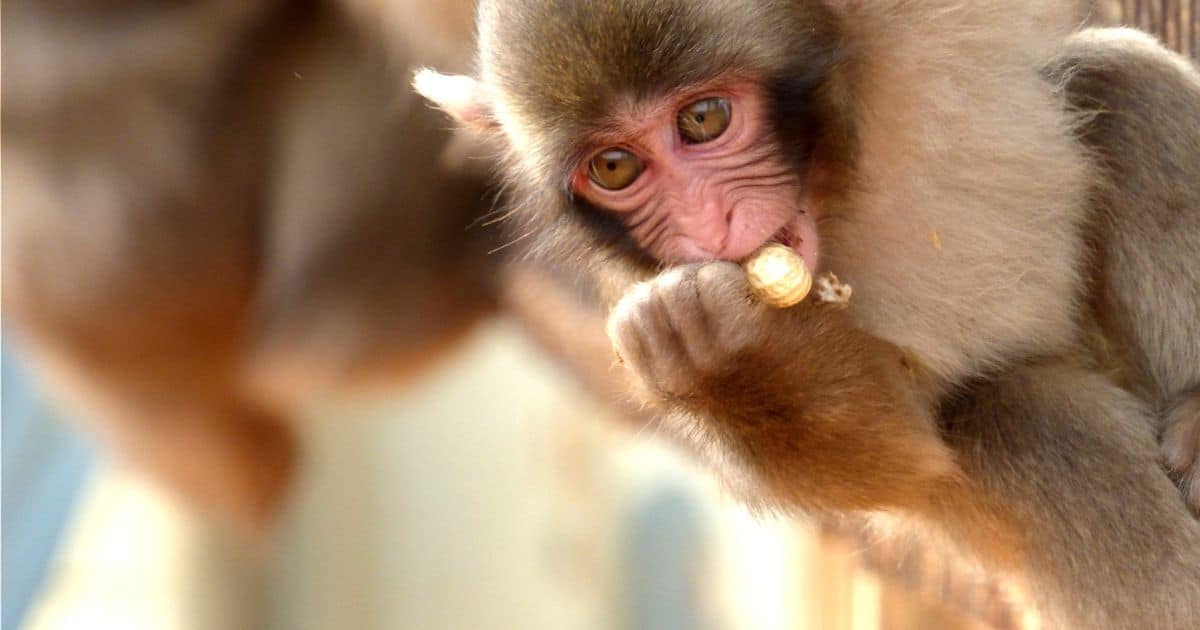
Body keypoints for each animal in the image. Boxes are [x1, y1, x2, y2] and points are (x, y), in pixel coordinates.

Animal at [415, 1, 1200, 627]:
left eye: (703, 119)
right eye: (614, 167)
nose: (705, 223)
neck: (833, 169)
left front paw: (720, 356)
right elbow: (905, 452)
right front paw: (717, 362)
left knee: (1118, 86)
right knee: (1022, 419)